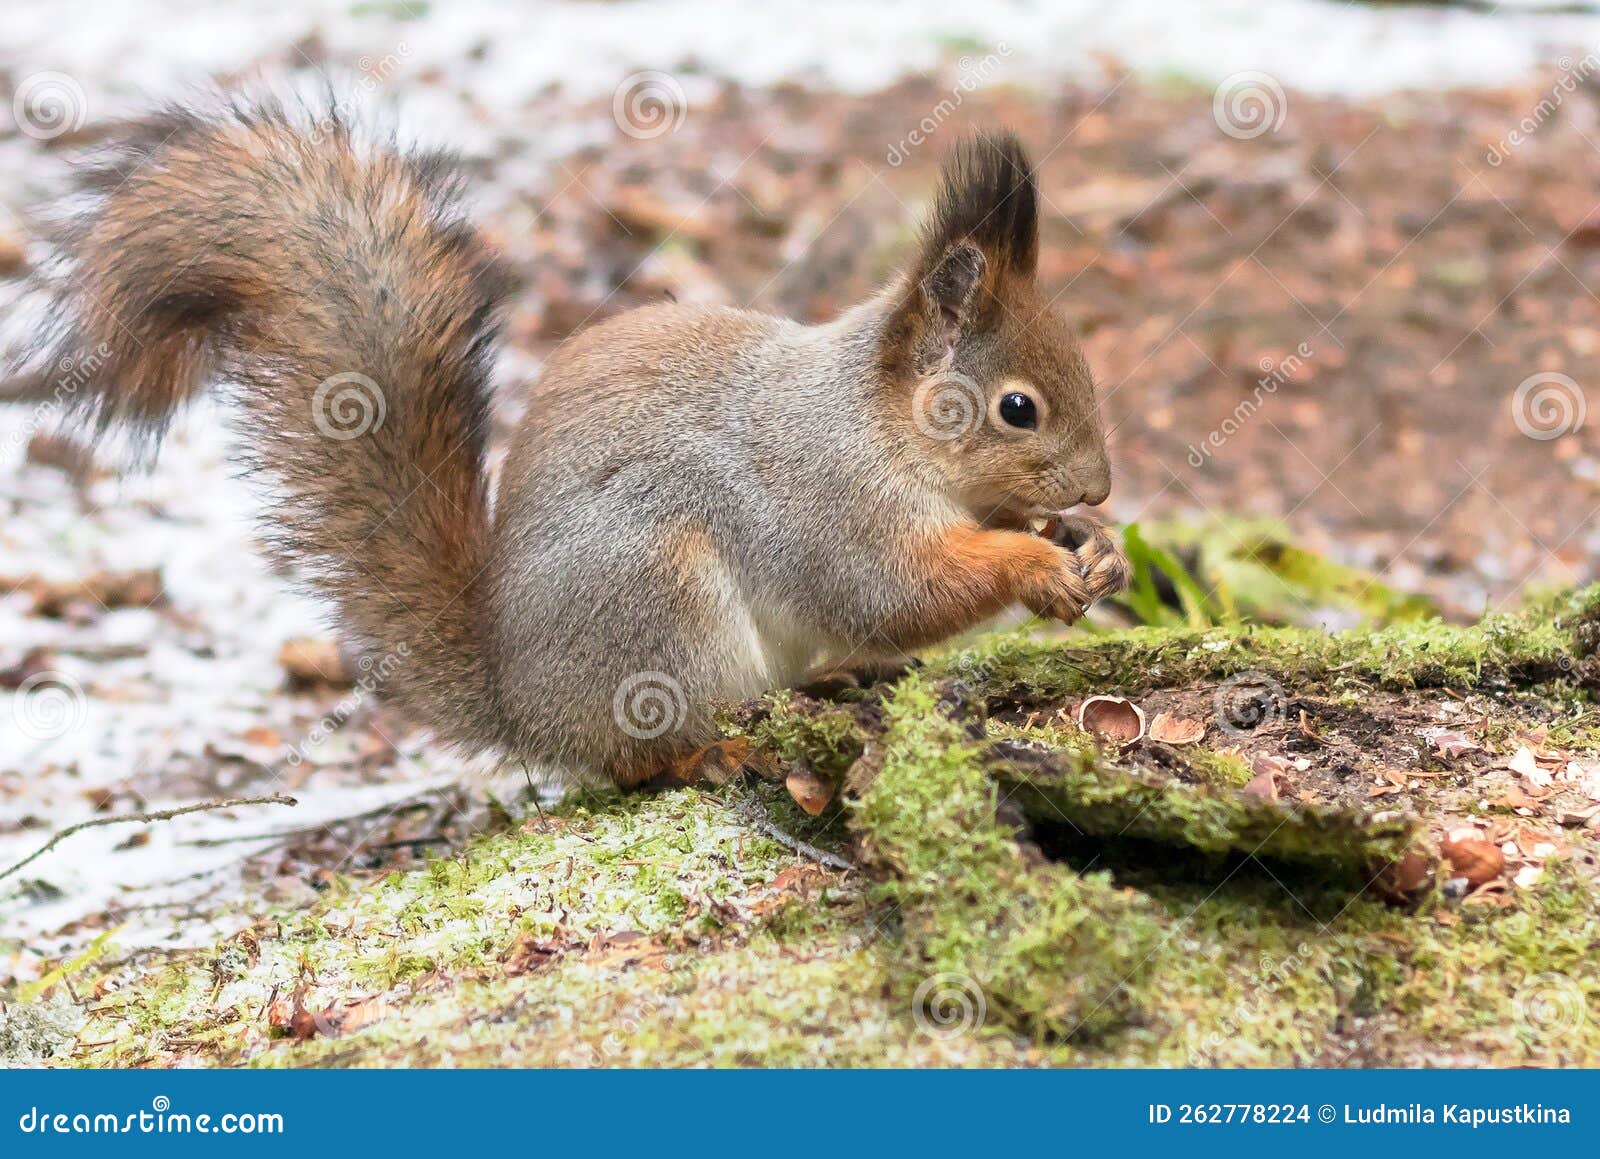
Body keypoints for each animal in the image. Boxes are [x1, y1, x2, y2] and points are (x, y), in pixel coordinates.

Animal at [4, 98, 1130, 787]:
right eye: (1018, 408)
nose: (1099, 485)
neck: (882, 424)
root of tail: (523, 702)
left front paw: (1092, 550)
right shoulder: (832, 501)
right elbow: (892, 592)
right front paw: (1034, 563)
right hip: (660, 604)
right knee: (636, 761)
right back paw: (713, 754)